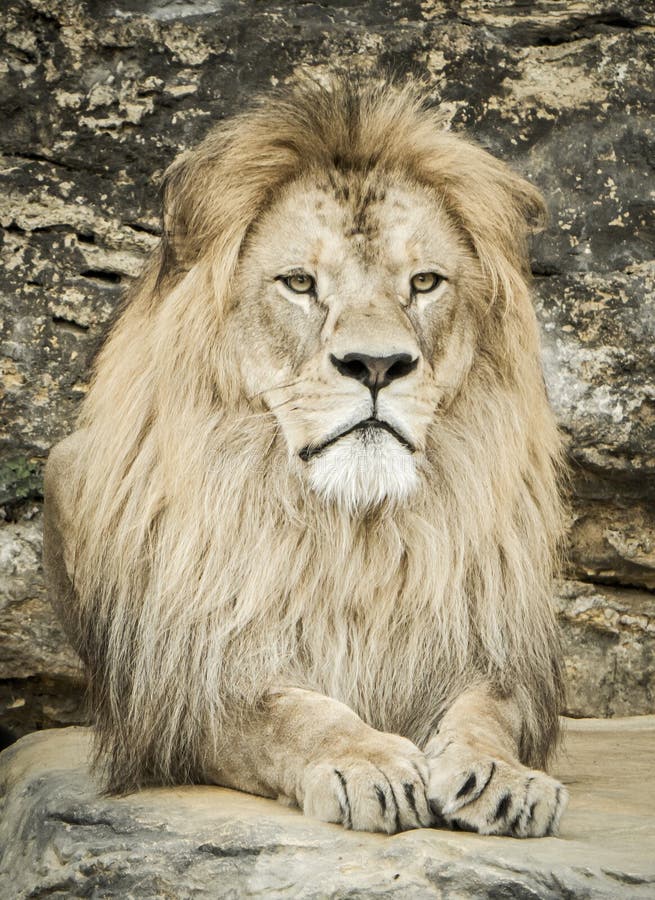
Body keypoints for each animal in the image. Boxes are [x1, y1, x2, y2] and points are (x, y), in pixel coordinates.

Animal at [43, 78, 568, 838]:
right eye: (298, 283)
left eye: (424, 283)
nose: (377, 365)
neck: (351, 531)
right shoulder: (183, 694)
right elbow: (287, 716)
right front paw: (365, 761)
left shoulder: (490, 652)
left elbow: (487, 713)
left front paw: (506, 778)